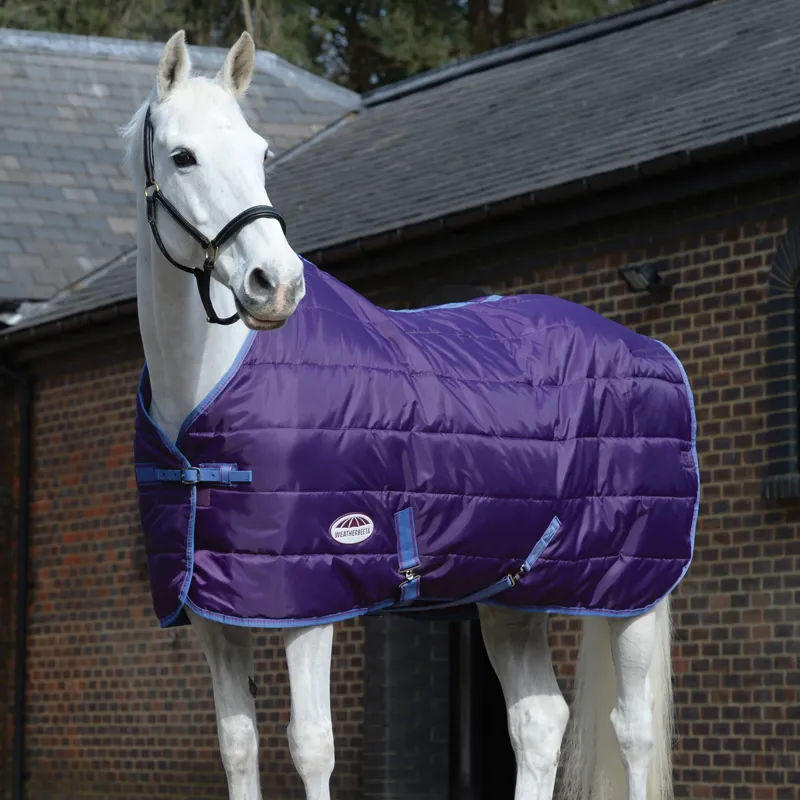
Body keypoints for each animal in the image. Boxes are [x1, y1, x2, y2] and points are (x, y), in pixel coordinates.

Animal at [123, 30, 697, 800]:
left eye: (262, 154)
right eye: (182, 156)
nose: (277, 285)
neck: (206, 390)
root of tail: (653, 349)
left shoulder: (316, 600)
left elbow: (311, 746)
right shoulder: (217, 613)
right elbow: (238, 745)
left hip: (631, 589)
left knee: (633, 729)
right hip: (511, 594)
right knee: (539, 721)